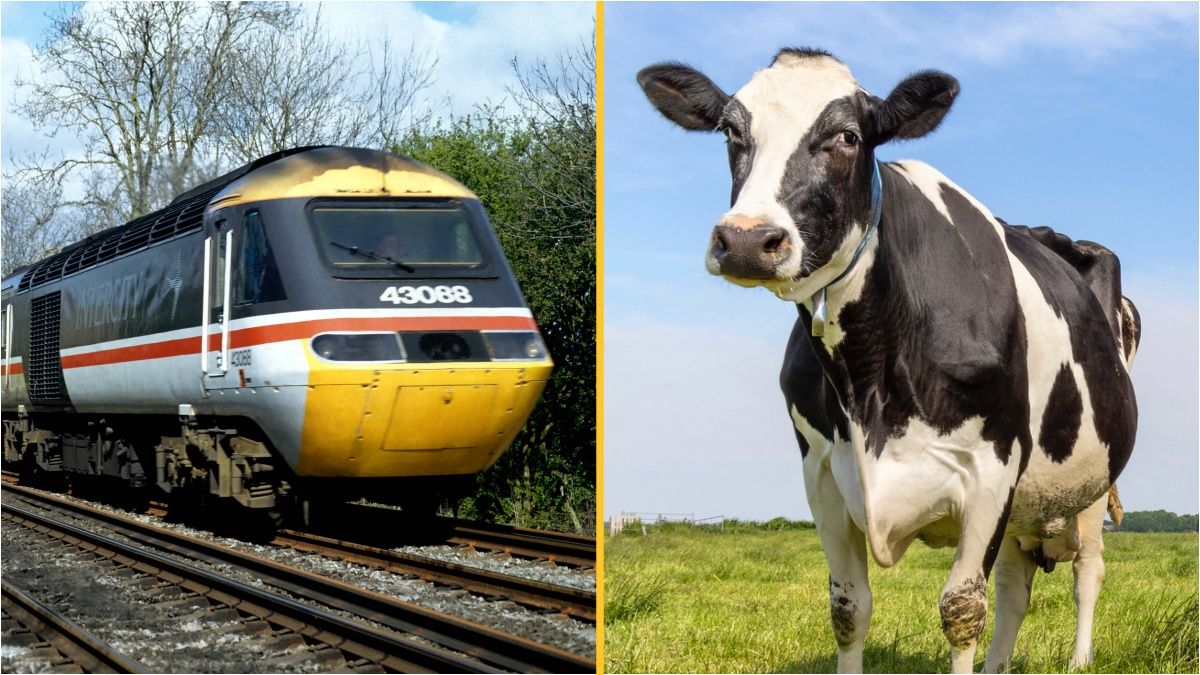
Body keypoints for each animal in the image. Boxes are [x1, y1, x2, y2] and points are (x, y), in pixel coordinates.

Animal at [636, 48, 1138, 673]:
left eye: (848, 136)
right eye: (731, 131)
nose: (748, 240)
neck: (869, 380)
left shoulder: (993, 468)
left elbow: (961, 609)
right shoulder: (822, 471)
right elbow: (849, 607)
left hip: (1090, 486)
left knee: (1086, 571)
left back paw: (1079, 659)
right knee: (1015, 588)